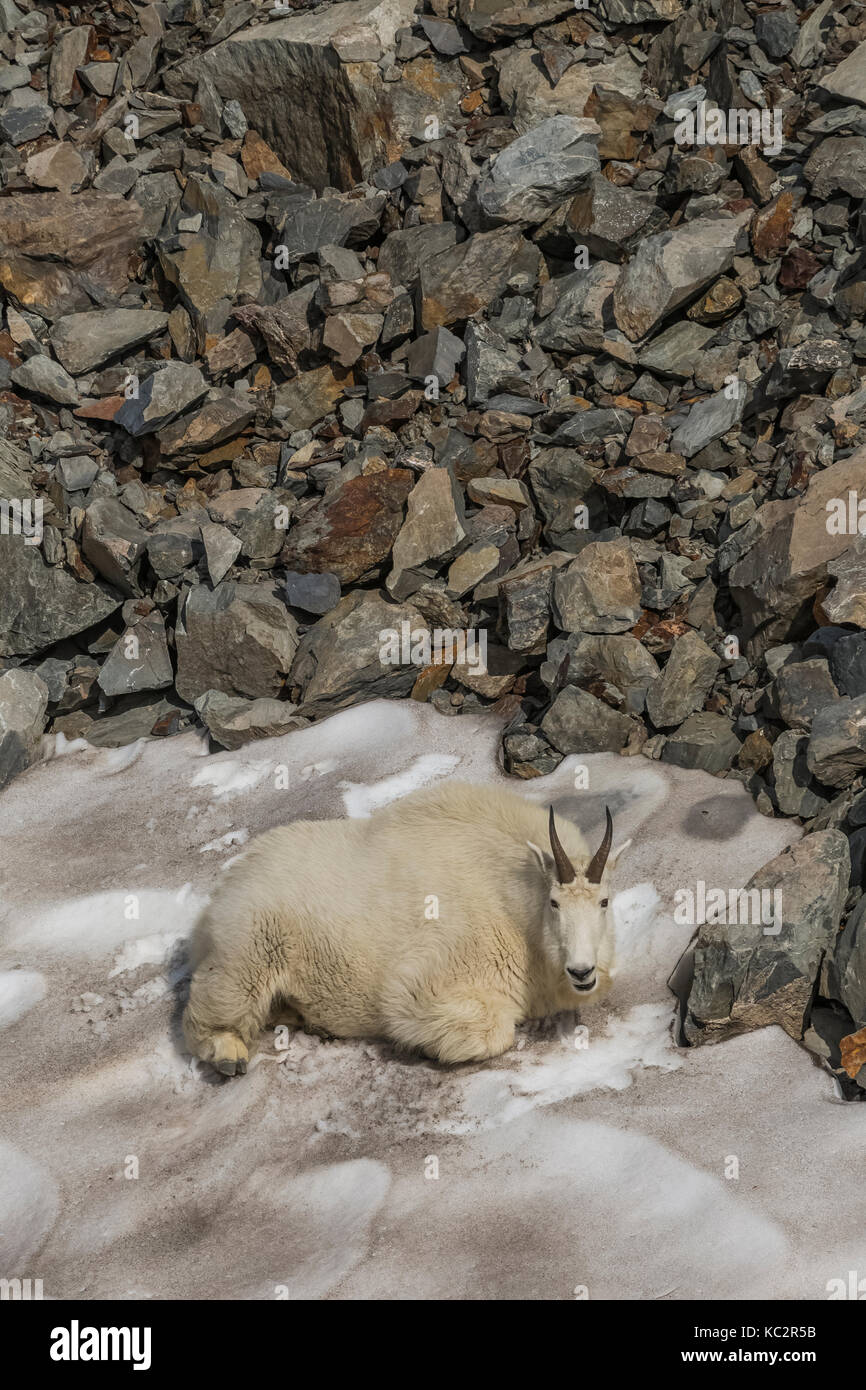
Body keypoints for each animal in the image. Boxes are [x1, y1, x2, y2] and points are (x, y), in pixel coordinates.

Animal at [183, 781, 630, 1074]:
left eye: (604, 902)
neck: (515, 906)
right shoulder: (432, 973)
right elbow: (486, 1028)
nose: (582, 971)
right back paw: (227, 1054)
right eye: (554, 903)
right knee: (207, 1008)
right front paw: (428, 1048)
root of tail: (221, 892)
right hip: (250, 946)